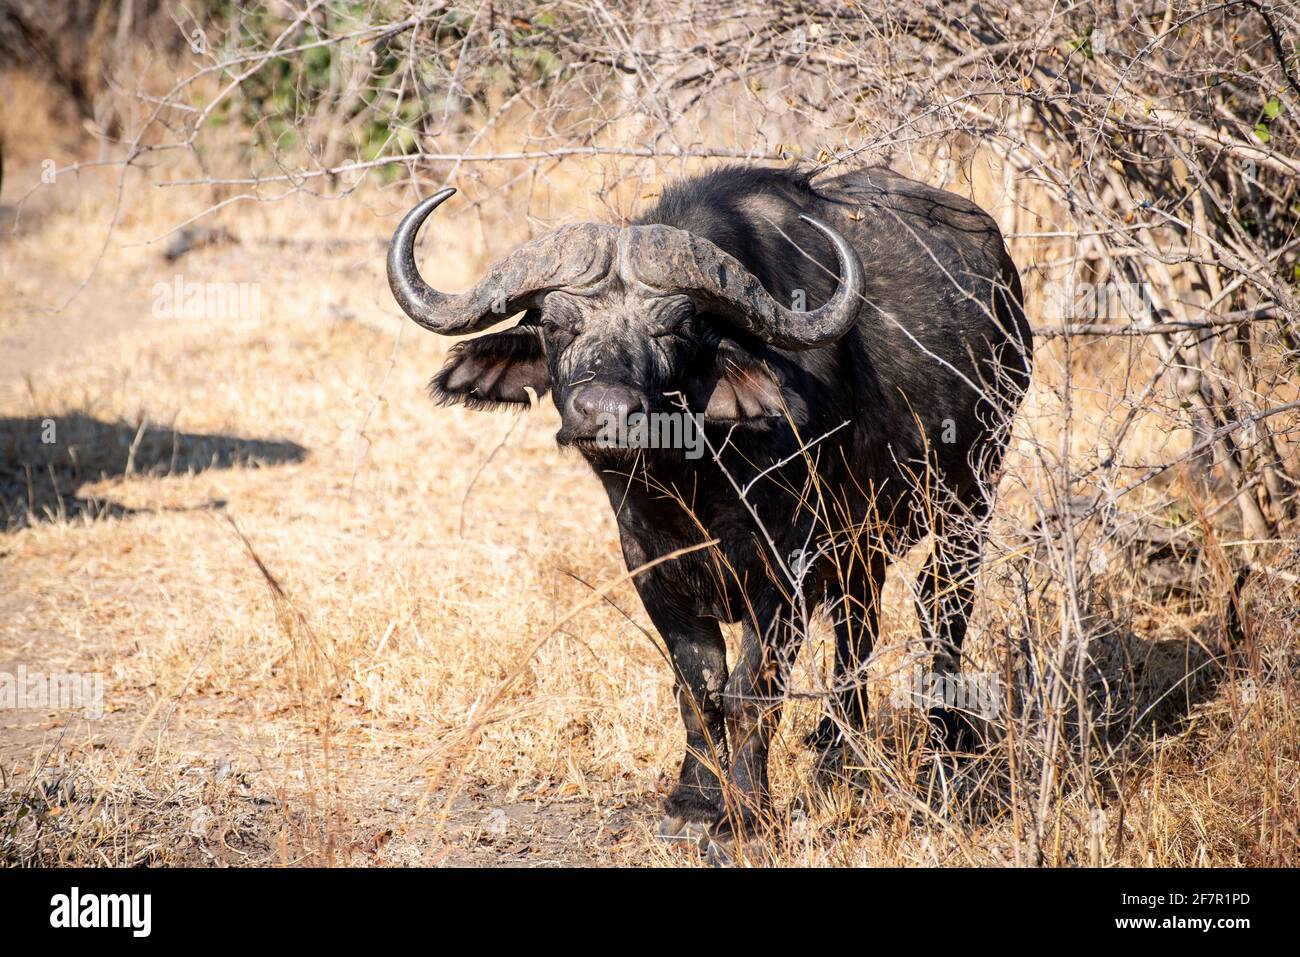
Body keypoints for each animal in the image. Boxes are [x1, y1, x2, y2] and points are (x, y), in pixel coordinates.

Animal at [387, 165, 1032, 863]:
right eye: (557, 326)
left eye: (676, 328)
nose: (606, 412)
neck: (692, 483)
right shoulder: (651, 567)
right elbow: (697, 685)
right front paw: (693, 803)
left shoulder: (784, 573)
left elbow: (751, 691)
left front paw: (743, 815)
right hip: (862, 541)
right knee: (858, 625)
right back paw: (838, 751)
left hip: (970, 496)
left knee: (943, 608)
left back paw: (947, 744)